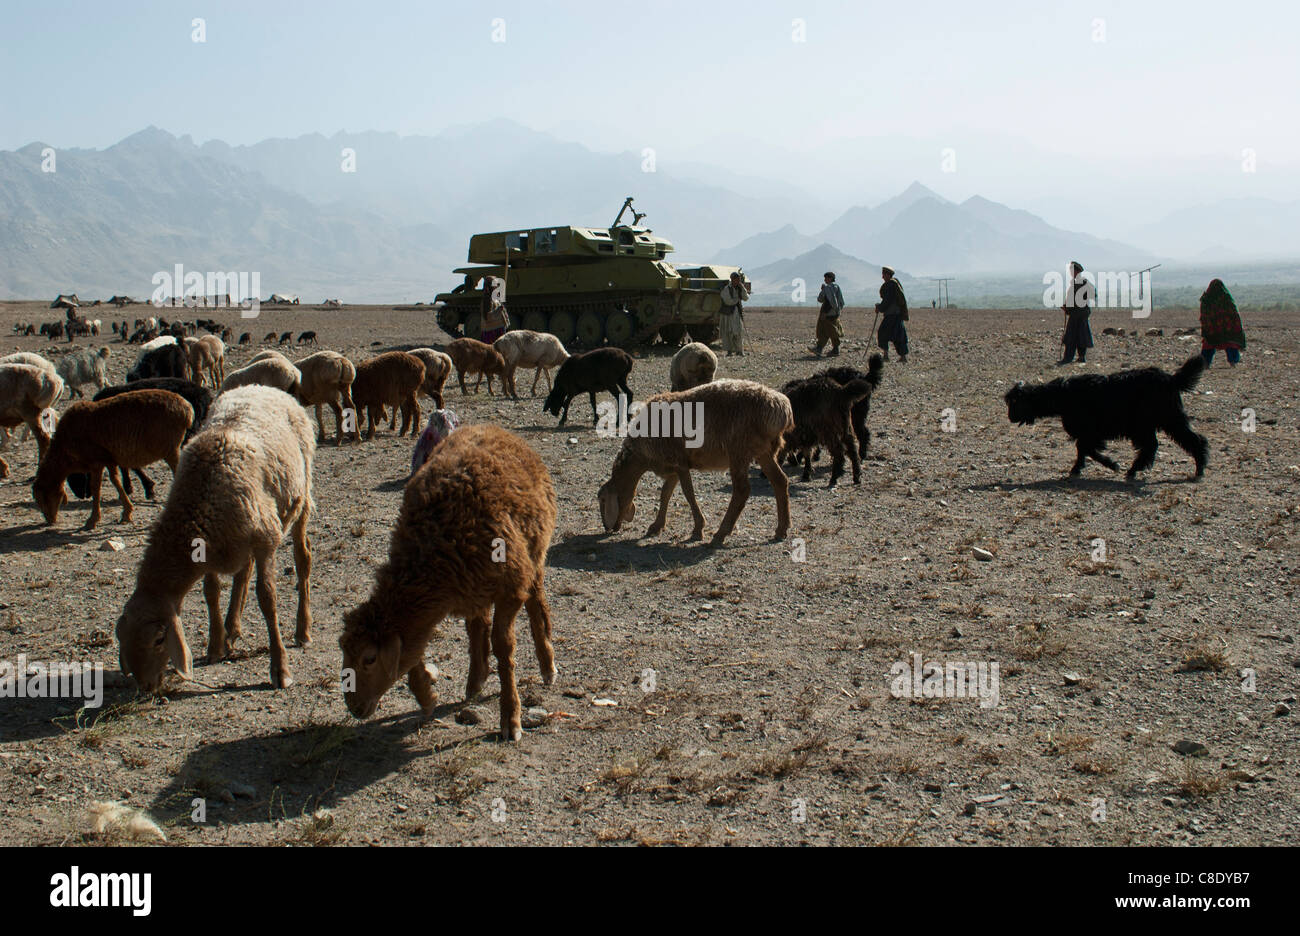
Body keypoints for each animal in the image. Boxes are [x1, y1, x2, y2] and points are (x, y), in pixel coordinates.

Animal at [32, 389, 193, 530]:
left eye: (42, 498)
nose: (49, 521)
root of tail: (187, 409)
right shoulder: (108, 460)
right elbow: (115, 480)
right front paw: (127, 513)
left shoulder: (95, 462)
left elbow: (95, 488)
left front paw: (92, 520)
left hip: (171, 450)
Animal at [115, 386, 315, 692]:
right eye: (122, 640)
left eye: (159, 639)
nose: (146, 688)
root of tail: (264, 387)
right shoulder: (209, 551)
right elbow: (211, 593)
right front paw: (215, 646)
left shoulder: (265, 540)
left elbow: (267, 599)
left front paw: (280, 669)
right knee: (243, 573)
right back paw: (232, 629)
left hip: (300, 497)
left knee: (303, 559)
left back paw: (302, 630)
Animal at [340, 424, 557, 741]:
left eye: (369, 659)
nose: (354, 708)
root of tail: (491, 427)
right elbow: (413, 650)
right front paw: (426, 695)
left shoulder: (511, 586)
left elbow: (504, 646)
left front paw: (510, 717)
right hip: (476, 586)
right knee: (477, 624)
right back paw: (475, 680)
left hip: (534, 554)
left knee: (536, 604)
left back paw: (547, 665)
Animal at [597, 379, 792, 547]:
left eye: (603, 500)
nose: (607, 528)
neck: (641, 453)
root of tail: (781, 408)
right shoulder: (673, 465)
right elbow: (665, 494)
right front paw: (656, 525)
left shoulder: (680, 462)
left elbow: (688, 493)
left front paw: (698, 529)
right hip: (763, 451)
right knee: (780, 481)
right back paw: (781, 530)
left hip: (739, 450)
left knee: (742, 490)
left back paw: (721, 533)